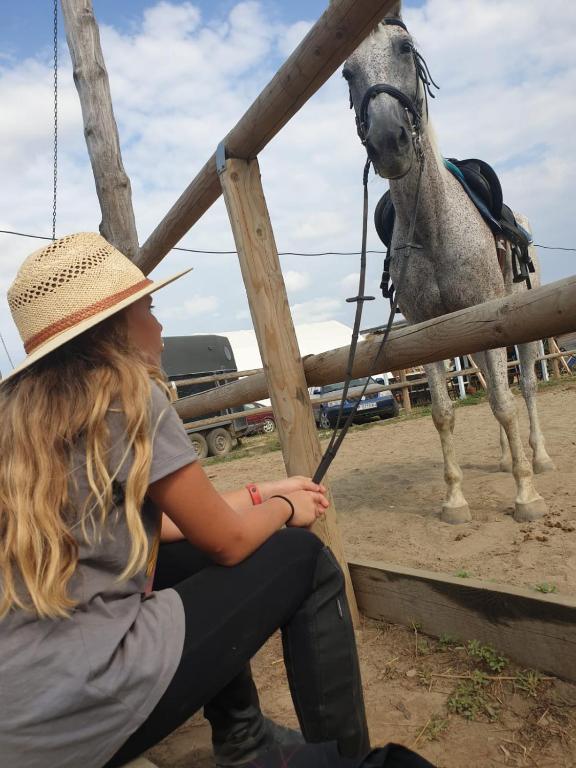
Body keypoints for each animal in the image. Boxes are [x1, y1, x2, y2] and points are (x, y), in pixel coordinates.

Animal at [342, 0, 554, 524]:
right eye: (346, 72)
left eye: (405, 48)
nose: (388, 141)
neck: (433, 230)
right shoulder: (426, 330)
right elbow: (443, 412)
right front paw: (456, 500)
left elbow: (505, 401)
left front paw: (525, 494)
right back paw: (504, 457)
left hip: (520, 325)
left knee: (525, 389)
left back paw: (536, 458)